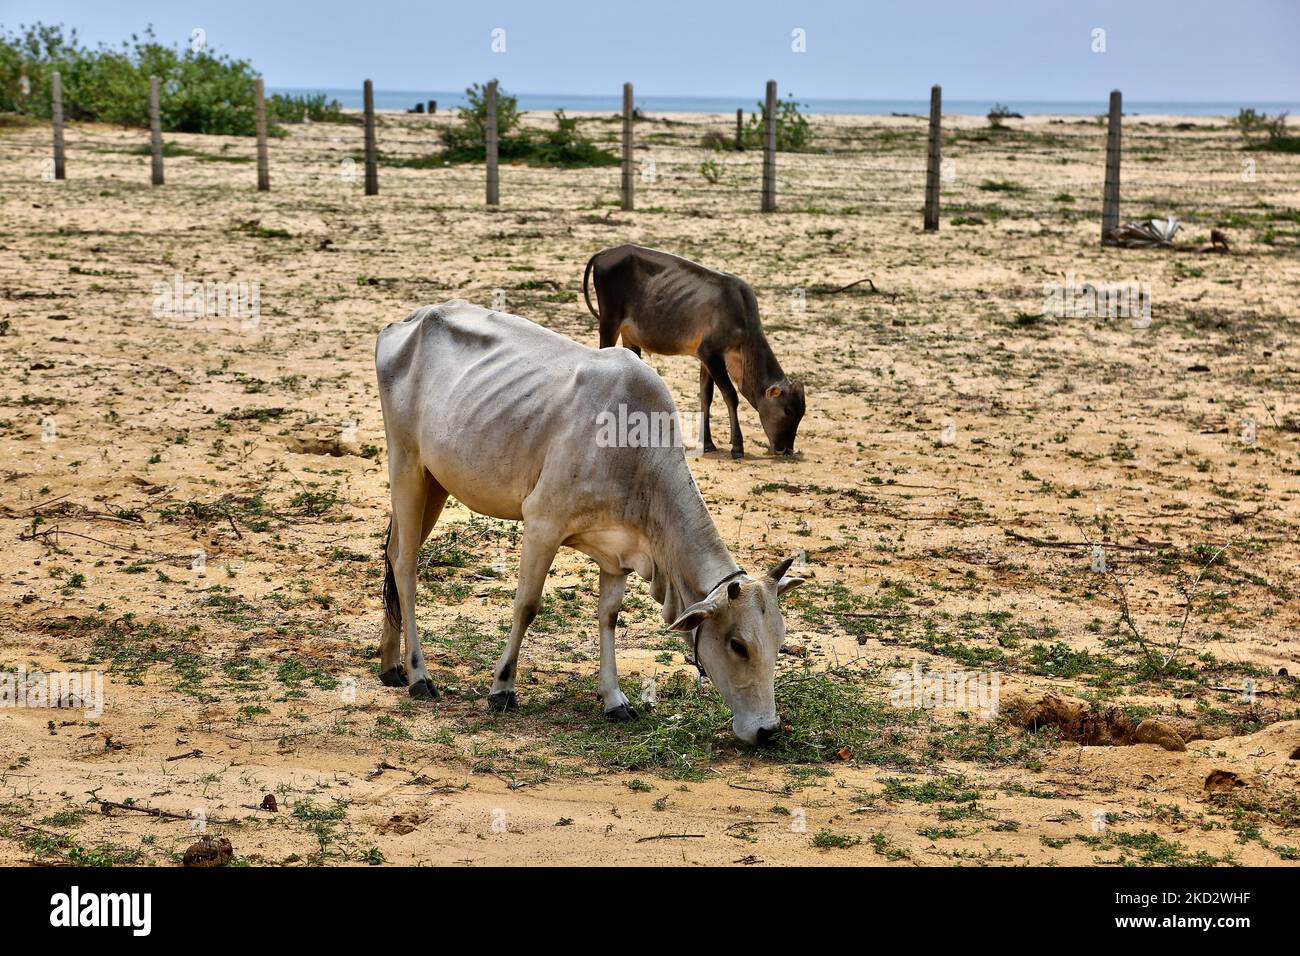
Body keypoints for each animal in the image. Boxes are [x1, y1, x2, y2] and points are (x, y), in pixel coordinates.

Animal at [375, 300, 805, 744]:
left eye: (779, 642)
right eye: (738, 645)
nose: (767, 730)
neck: (633, 450)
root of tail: (409, 321)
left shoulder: (619, 554)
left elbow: (608, 617)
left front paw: (614, 699)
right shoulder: (542, 524)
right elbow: (526, 606)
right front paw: (502, 688)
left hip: (435, 481)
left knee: (393, 551)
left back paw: (390, 665)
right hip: (406, 463)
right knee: (405, 564)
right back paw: (419, 675)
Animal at [582, 244, 805, 460]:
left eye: (801, 414)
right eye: (787, 411)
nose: (786, 450)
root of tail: (606, 252)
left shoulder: (705, 358)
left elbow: (706, 396)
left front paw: (707, 443)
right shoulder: (710, 352)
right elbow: (730, 395)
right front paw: (737, 447)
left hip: (629, 336)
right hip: (609, 323)